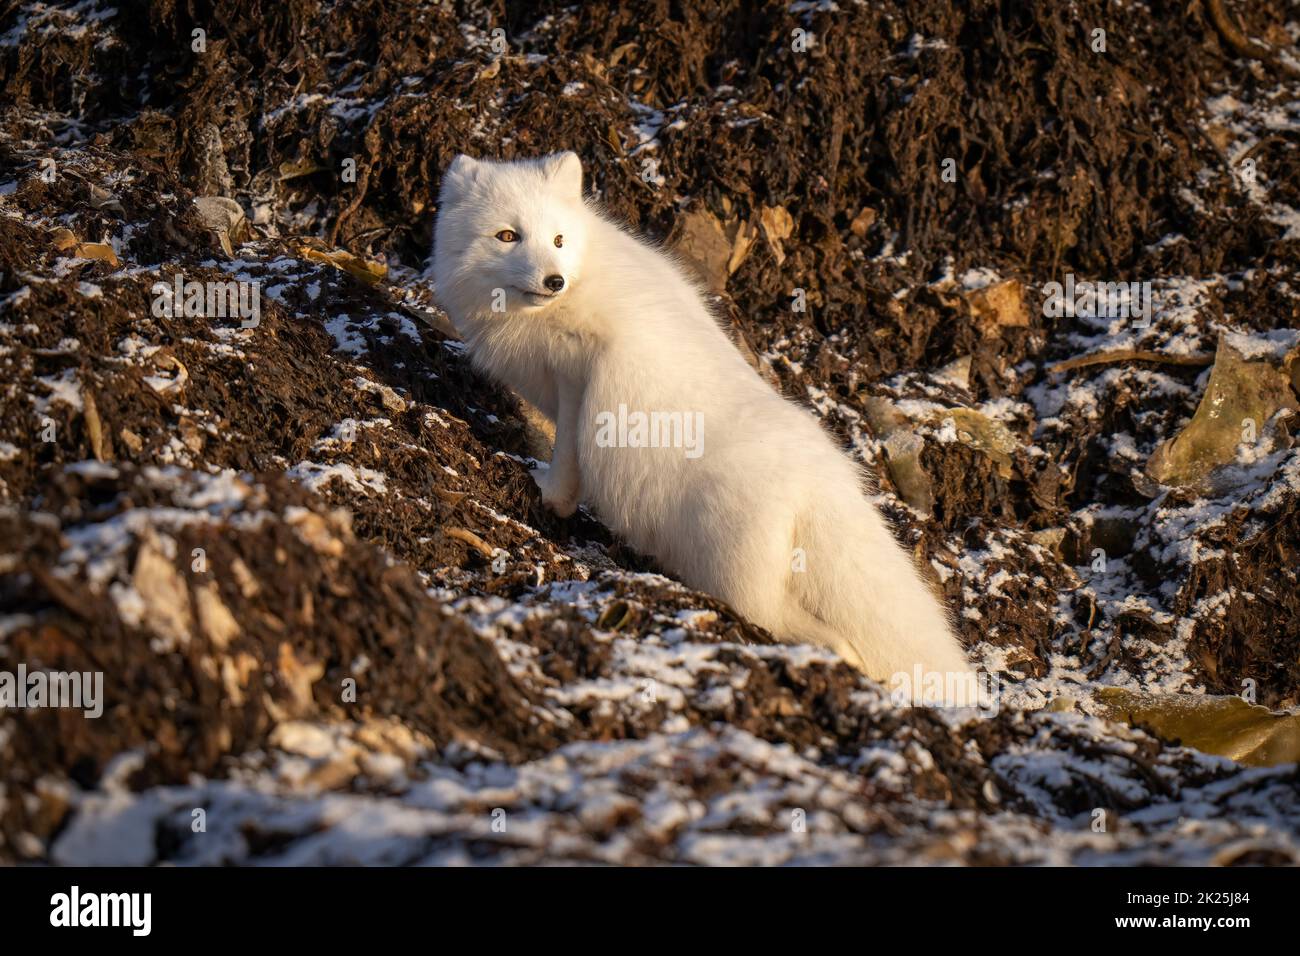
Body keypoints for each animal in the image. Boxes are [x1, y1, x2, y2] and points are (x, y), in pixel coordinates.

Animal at [431, 151, 970, 686]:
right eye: (508, 235)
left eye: (559, 240)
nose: (554, 281)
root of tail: (822, 480)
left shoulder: (577, 379)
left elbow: (566, 453)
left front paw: (548, 493)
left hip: (735, 577)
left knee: (814, 634)